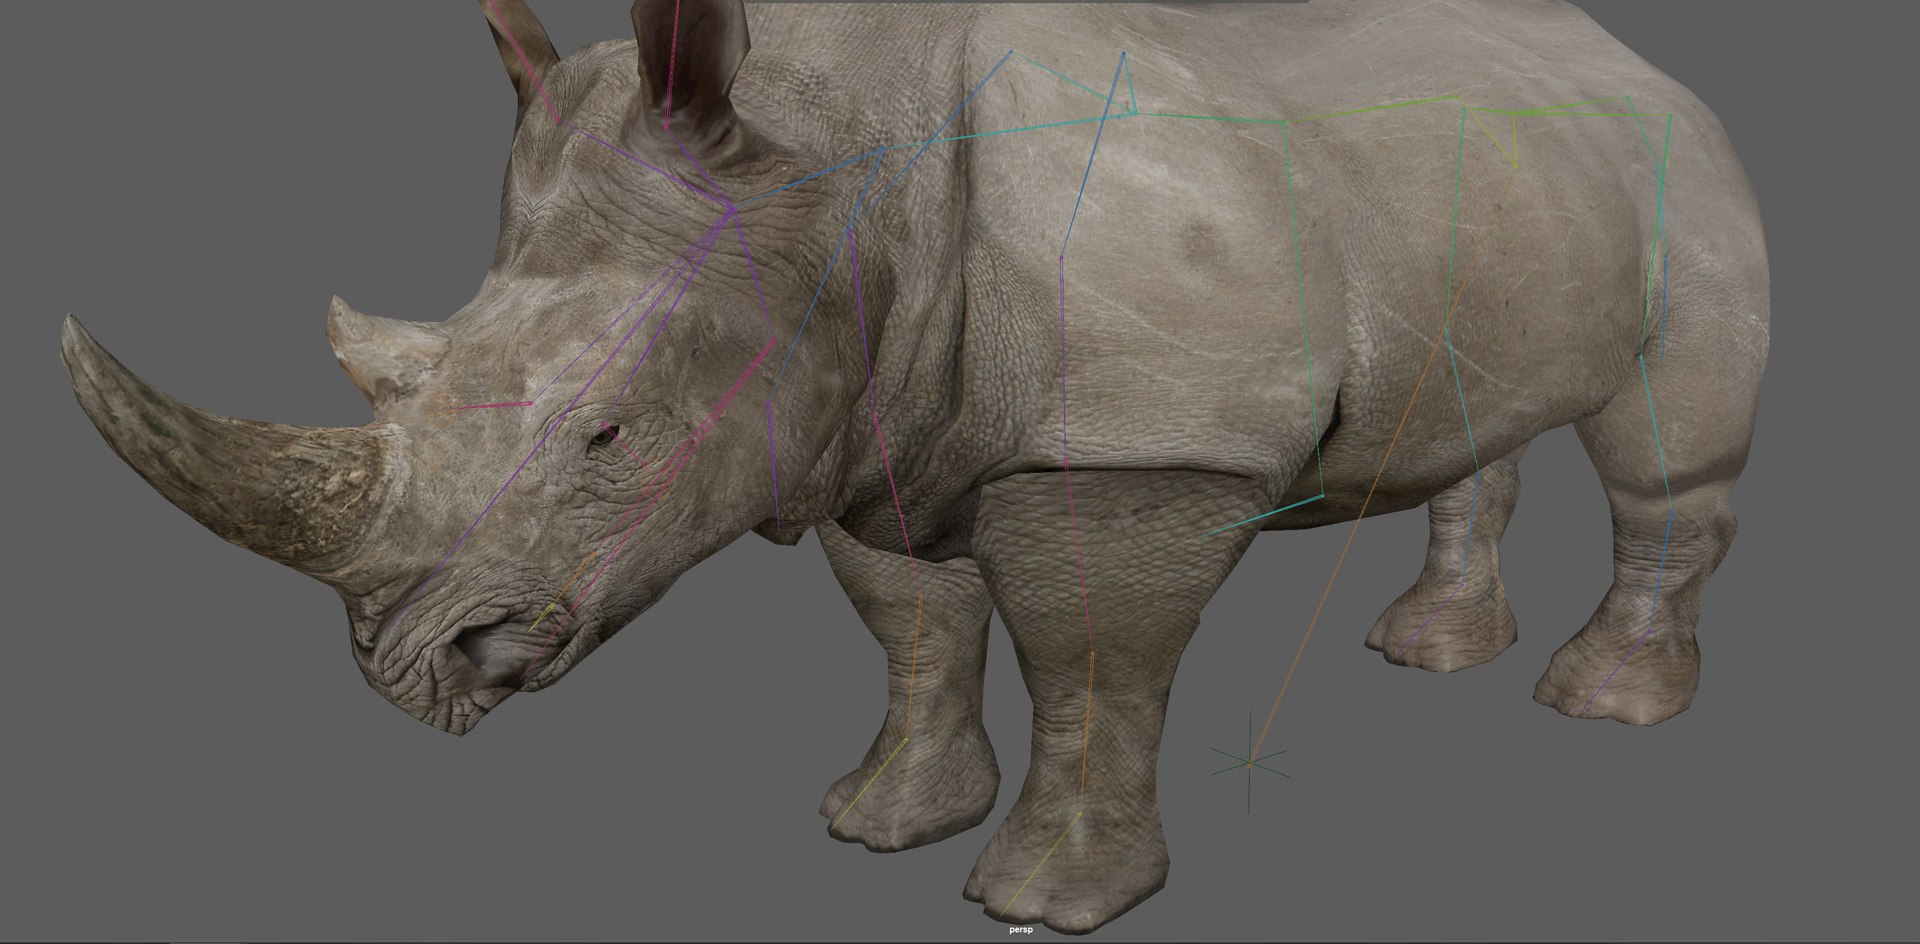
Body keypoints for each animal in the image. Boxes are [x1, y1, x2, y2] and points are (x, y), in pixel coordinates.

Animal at [58, 0, 1768, 934]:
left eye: (609, 436)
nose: (408, 673)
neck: (825, 146)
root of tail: (1632, 51)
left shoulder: (1130, 443)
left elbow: (1087, 659)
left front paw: (1047, 903)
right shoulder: (852, 417)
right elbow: (917, 626)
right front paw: (882, 821)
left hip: (1689, 170)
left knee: (1663, 445)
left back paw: (1604, 704)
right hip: (1507, 179)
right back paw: (1430, 655)